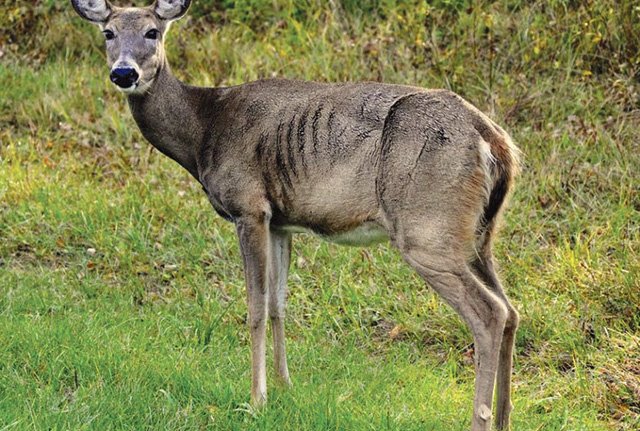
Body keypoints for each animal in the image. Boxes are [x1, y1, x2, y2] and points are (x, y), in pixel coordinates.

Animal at [70, 1, 521, 429]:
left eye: (152, 31)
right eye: (108, 32)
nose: (123, 73)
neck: (203, 130)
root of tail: (495, 142)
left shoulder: (248, 206)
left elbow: (254, 308)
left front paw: (256, 400)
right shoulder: (281, 221)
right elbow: (278, 305)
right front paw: (285, 385)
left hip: (427, 228)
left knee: (490, 313)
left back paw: (480, 420)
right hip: (478, 235)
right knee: (511, 310)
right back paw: (503, 418)